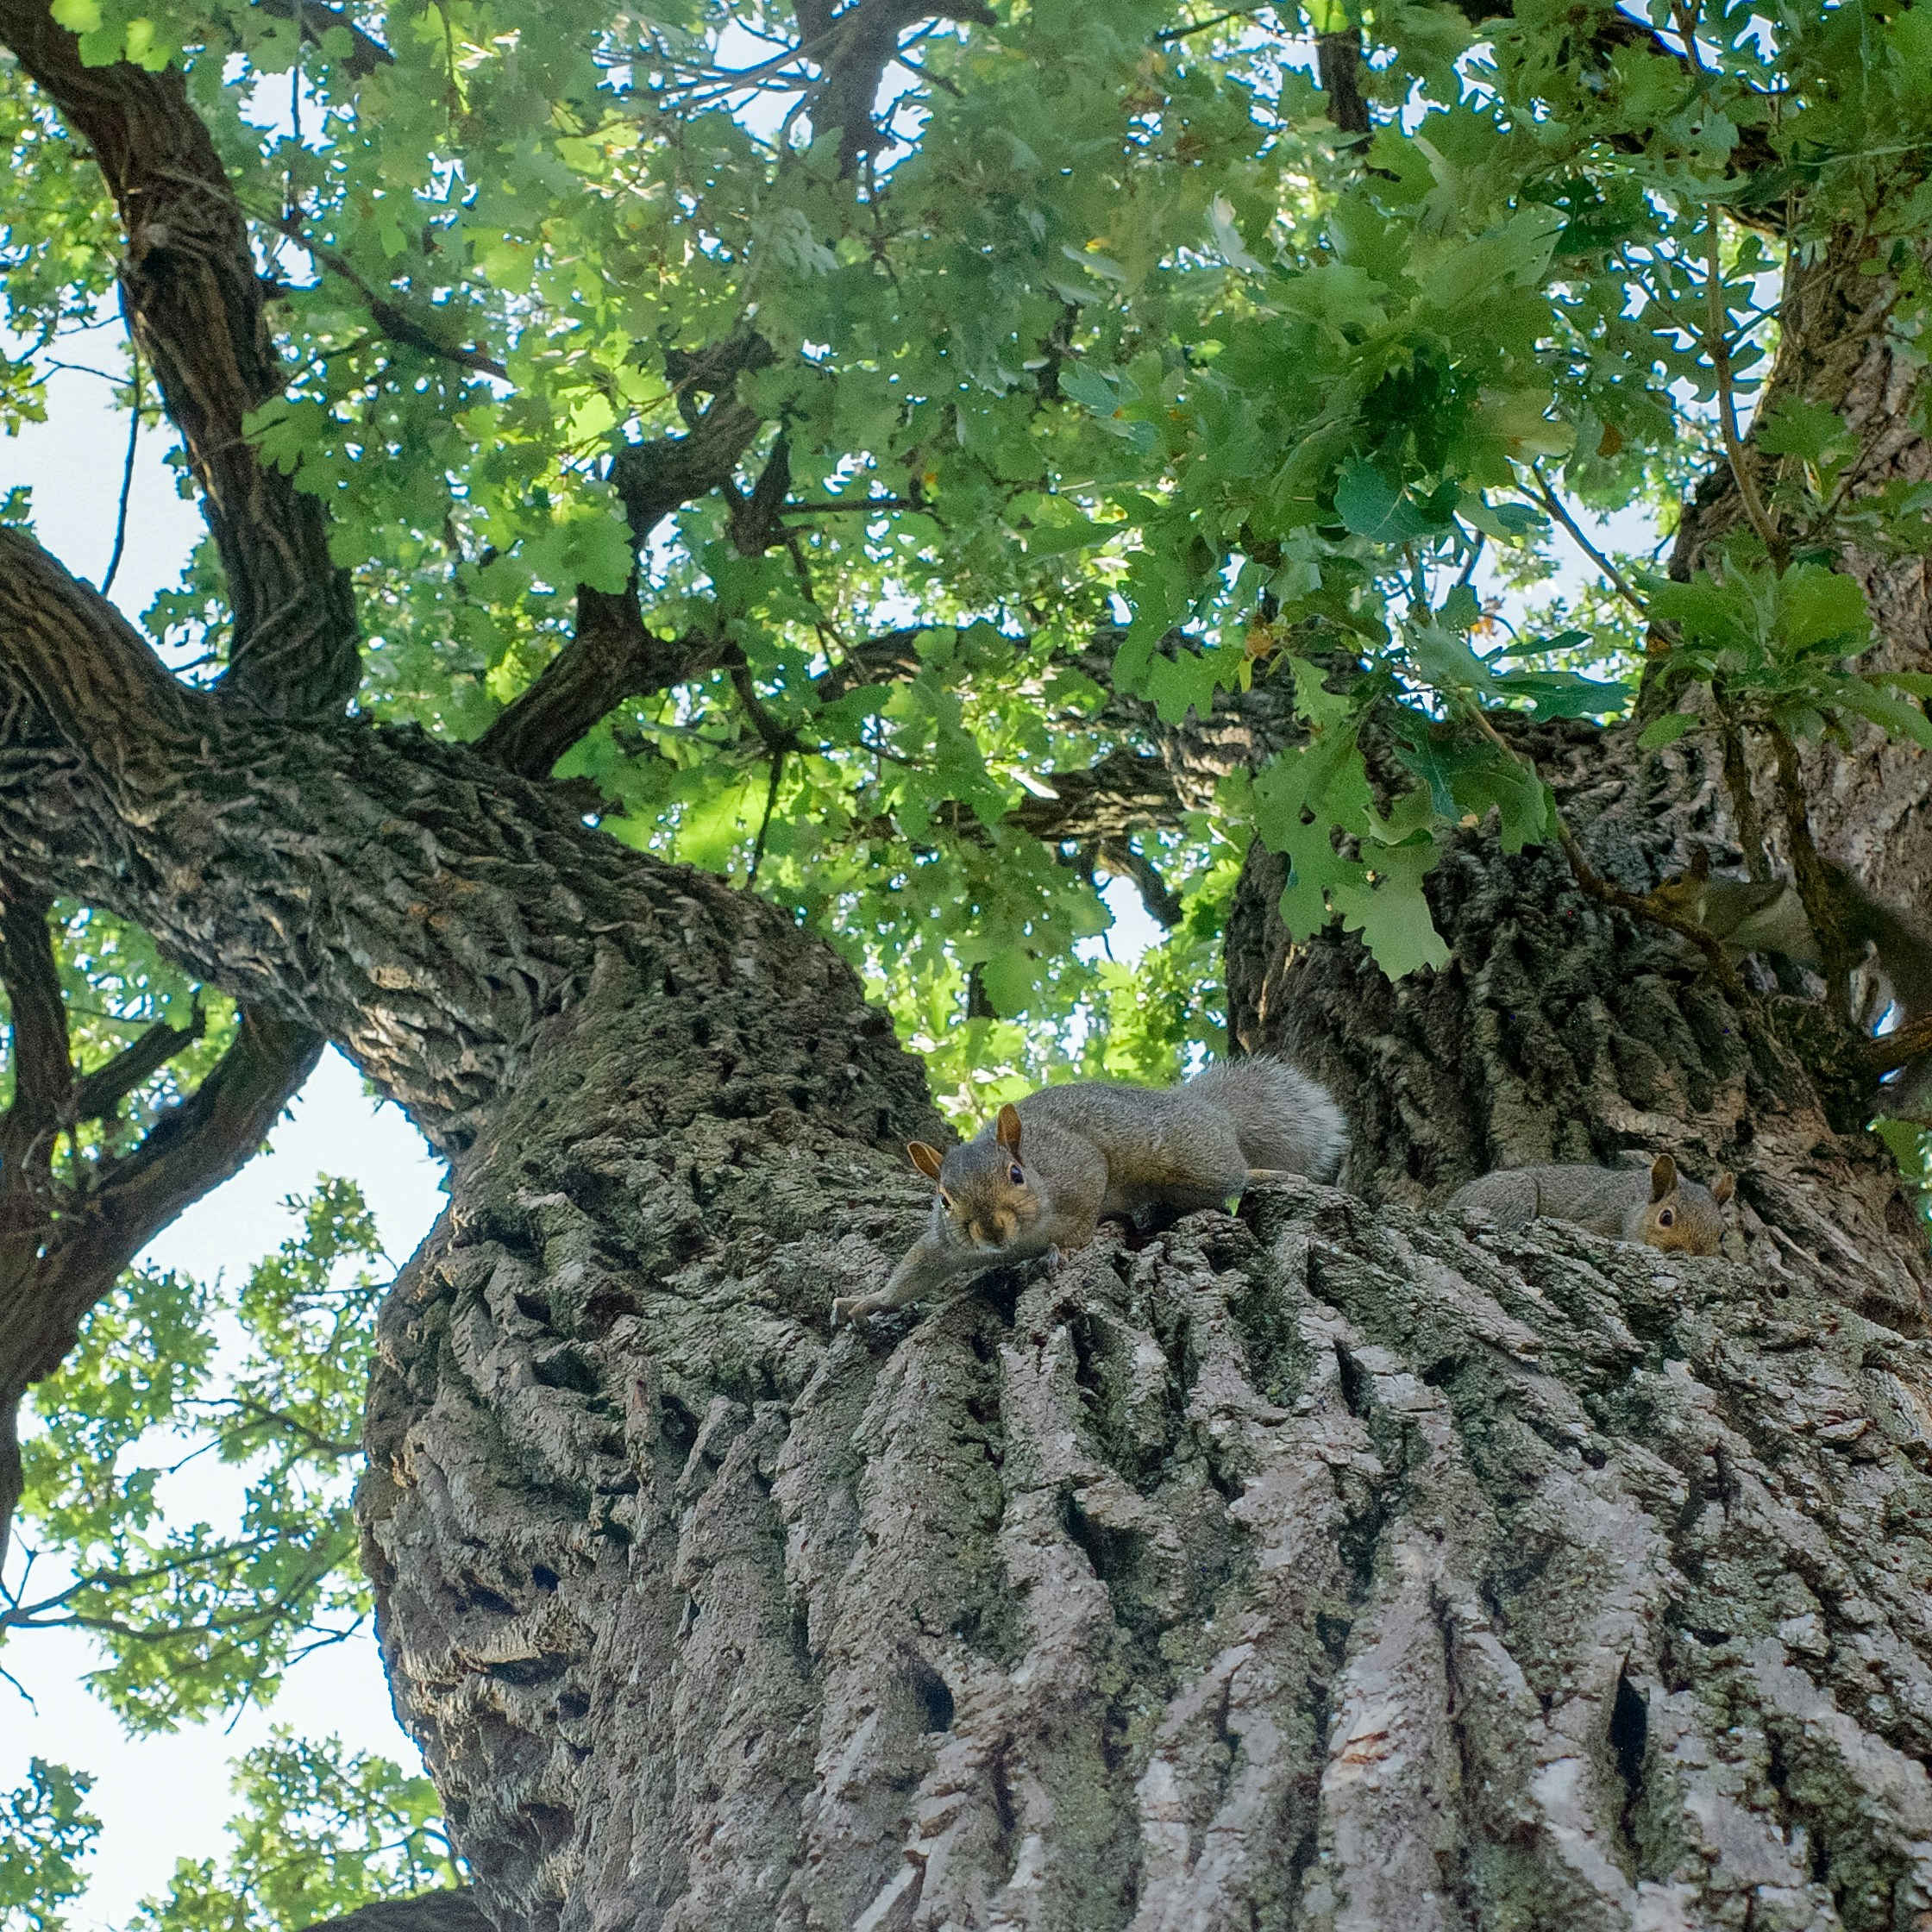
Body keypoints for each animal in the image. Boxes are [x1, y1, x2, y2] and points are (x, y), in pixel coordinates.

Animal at [832, 1057, 1346, 1327]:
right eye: (944, 1200)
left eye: (1016, 1175)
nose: (992, 1231)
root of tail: (1206, 1110)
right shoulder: (946, 1245)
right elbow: (914, 1272)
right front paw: (867, 1302)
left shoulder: (1080, 1170)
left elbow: (1081, 1217)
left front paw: (1065, 1250)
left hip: (1197, 1161)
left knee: (1231, 1175)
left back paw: (1266, 1174)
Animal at [1448, 1154, 1735, 1255]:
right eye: (1666, 1218)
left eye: (1722, 1235)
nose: (1696, 1255)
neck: (1634, 1208)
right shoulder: (1600, 1219)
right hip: (1516, 1191)